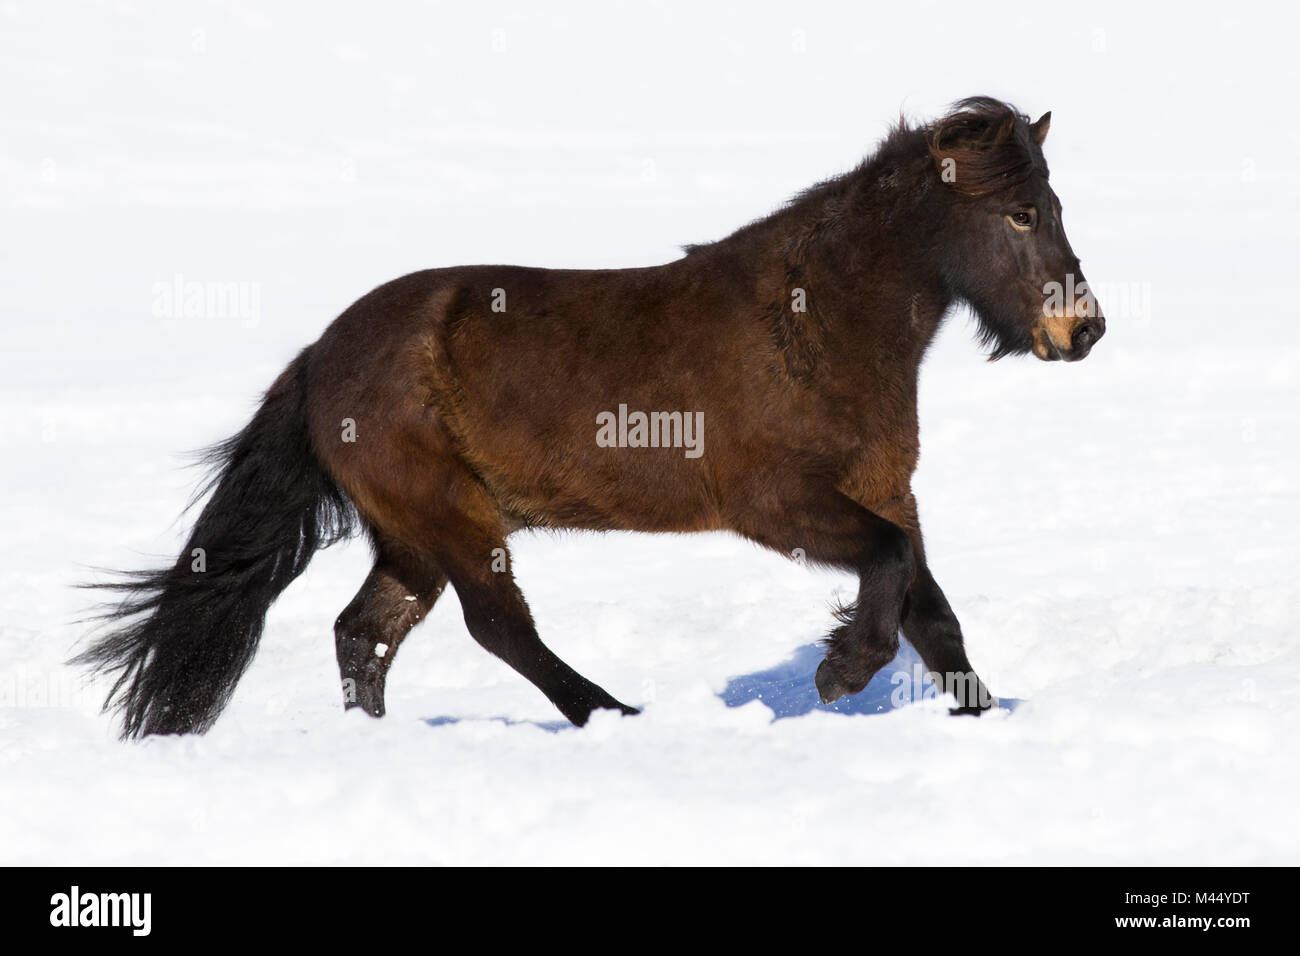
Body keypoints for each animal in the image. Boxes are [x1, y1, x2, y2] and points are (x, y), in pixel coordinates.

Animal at [76, 96, 1104, 738]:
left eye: (1052, 204)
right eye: (1018, 213)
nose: (1083, 328)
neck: (816, 324)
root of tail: (321, 357)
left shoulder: (888, 490)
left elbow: (934, 616)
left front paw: (980, 717)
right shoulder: (777, 505)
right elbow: (891, 579)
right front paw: (838, 673)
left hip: (410, 536)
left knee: (363, 631)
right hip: (454, 519)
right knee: (497, 630)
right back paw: (616, 715)